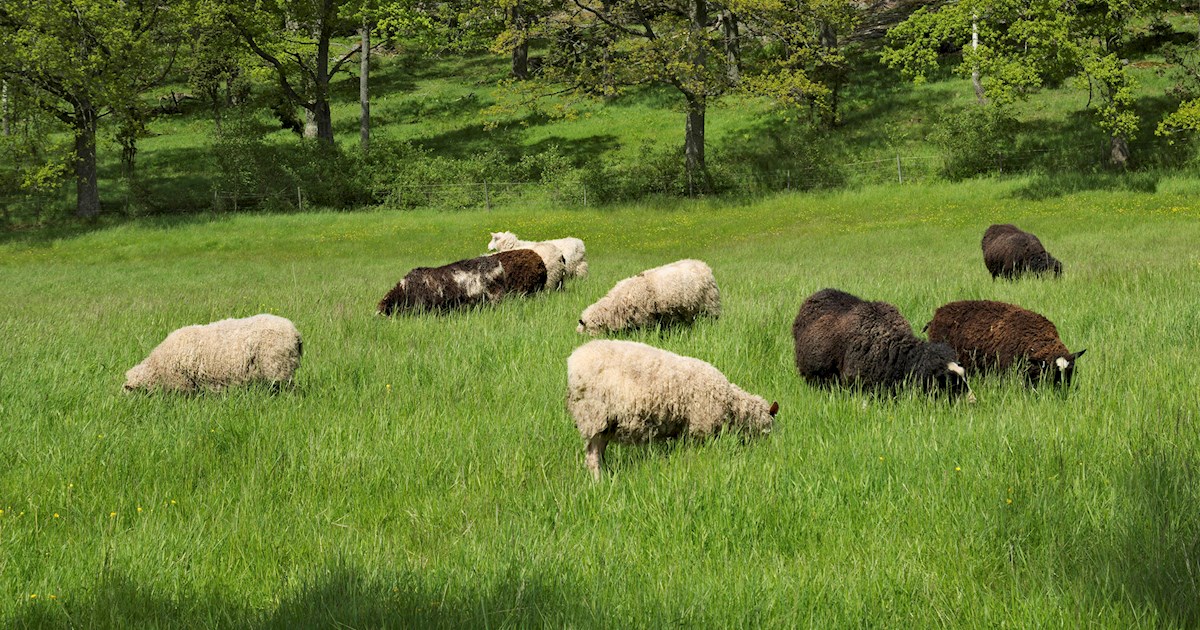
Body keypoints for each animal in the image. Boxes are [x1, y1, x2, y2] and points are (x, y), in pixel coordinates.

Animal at [567, 339, 778, 480]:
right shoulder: (699, 429)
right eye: (767, 429)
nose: (767, 448)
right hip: (593, 415)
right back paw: (598, 481)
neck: (730, 403)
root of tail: (574, 360)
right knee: (593, 456)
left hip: (604, 423)